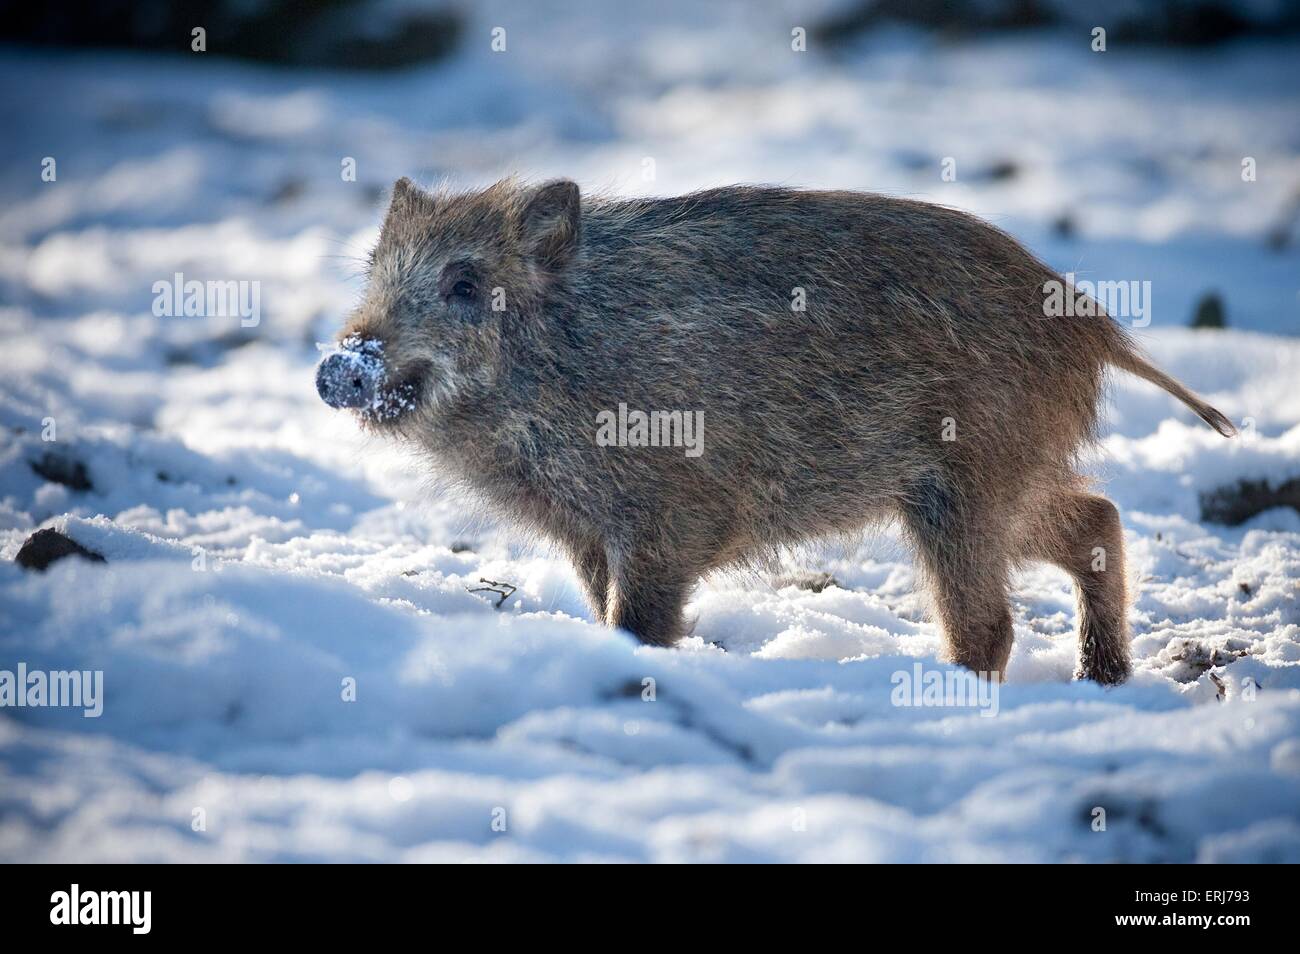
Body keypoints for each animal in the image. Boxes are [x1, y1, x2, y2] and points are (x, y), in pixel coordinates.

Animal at [317, 177, 1236, 684]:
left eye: (466, 283)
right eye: (375, 270)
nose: (341, 362)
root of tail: (1095, 327)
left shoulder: (668, 517)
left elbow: (638, 620)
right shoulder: (585, 531)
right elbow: (605, 610)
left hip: (967, 484)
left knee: (989, 624)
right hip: (1000, 482)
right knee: (1098, 520)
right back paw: (1102, 681)